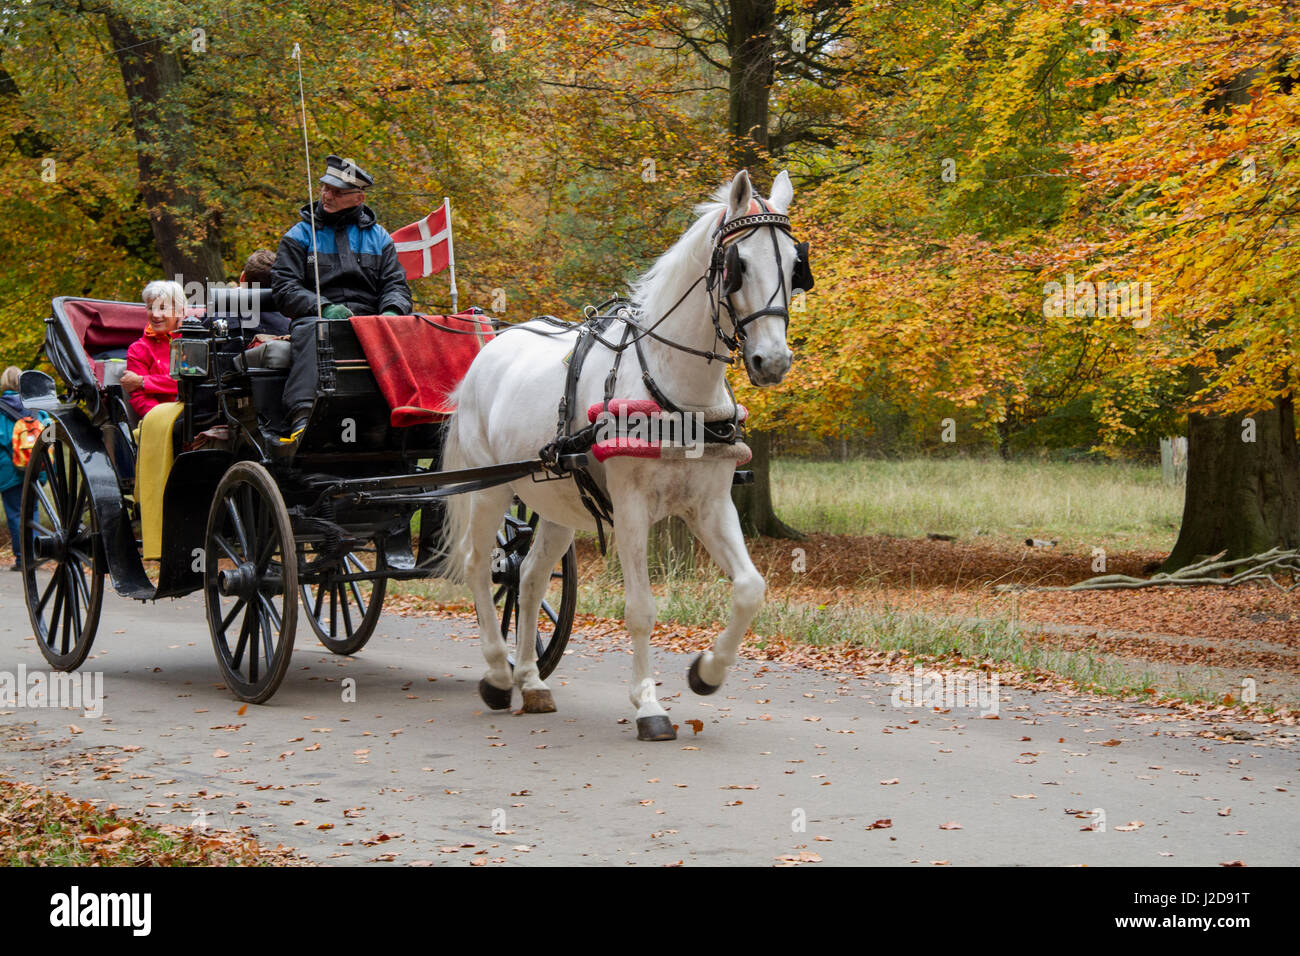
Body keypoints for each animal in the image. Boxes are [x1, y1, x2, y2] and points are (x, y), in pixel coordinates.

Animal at [438, 169, 808, 741]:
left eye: (794, 264)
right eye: (738, 265)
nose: (773, 361)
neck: (675, 388)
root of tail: (489, 349)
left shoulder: (710, 505)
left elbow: (750, 588)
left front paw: (706, 672)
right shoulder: (632, 508)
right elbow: (641, 609)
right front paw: (649, 705)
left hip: (558, 503)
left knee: (529, 578)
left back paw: (531, 680)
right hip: (489, 488)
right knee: (483, 566)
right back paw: (499, 674)